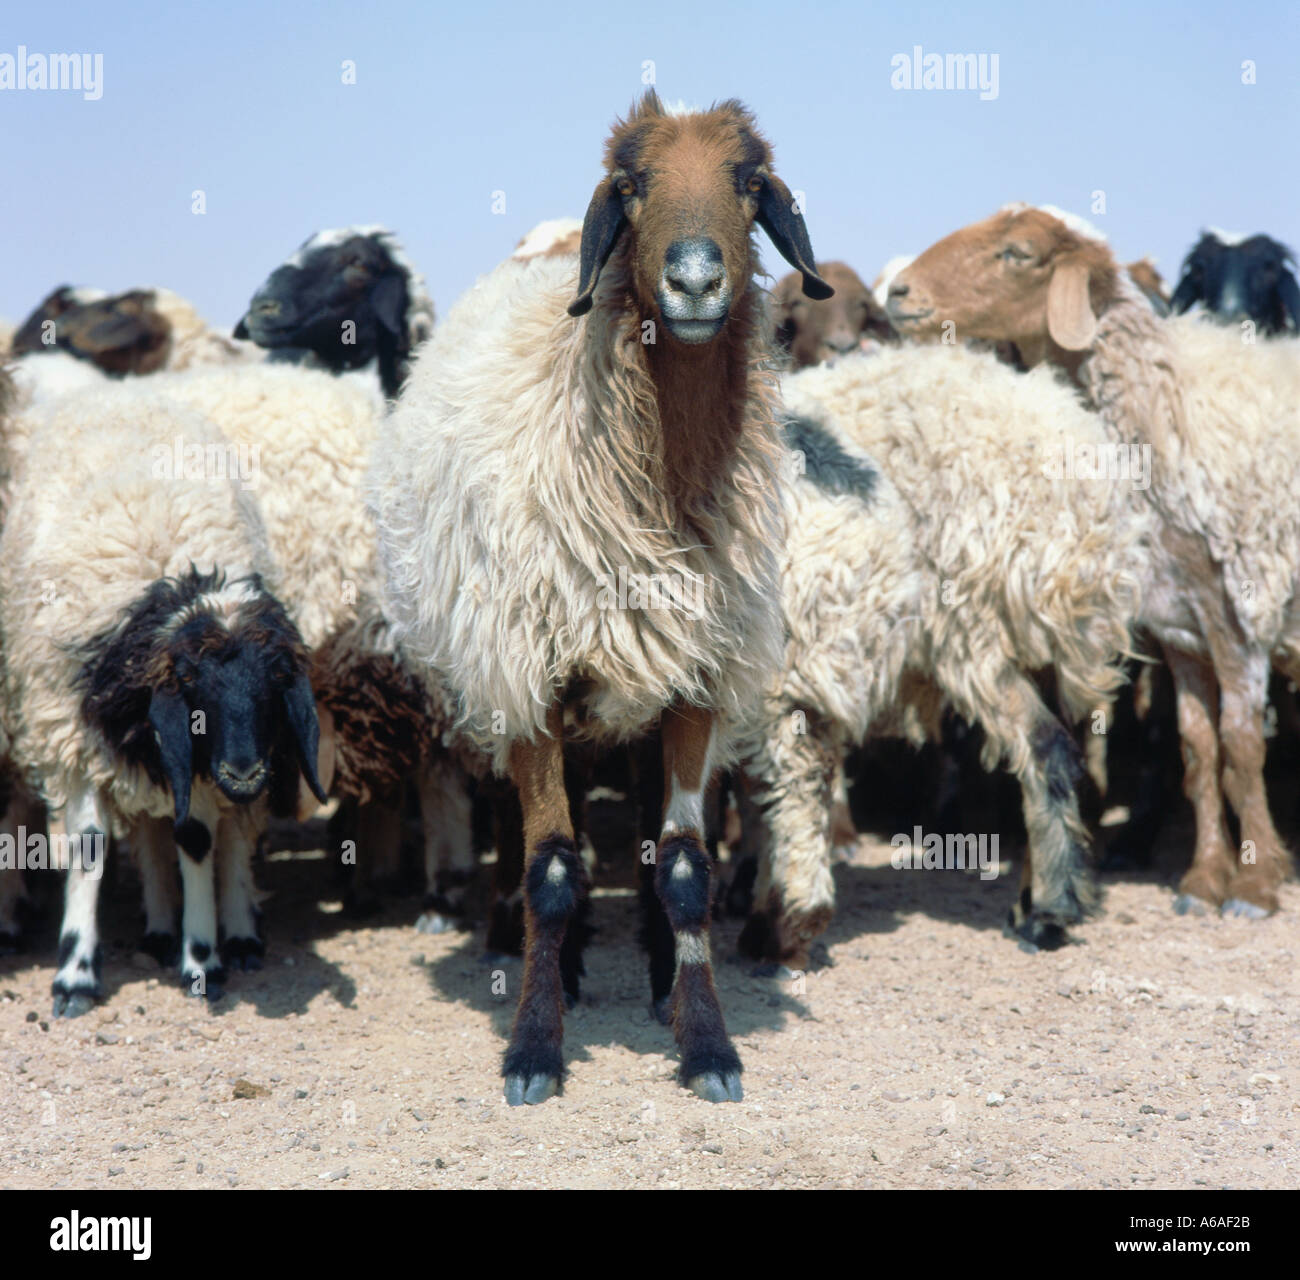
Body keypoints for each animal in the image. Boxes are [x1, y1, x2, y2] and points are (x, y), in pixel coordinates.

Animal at [0, 381, 325, 1013]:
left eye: (277, 681)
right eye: (192, 684)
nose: (246, 772)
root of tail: (120, 390)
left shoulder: (197, 760)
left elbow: (197, 839)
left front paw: (203, 960)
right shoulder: (77, 736)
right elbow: (89, 847)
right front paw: (76, 973)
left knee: (231, 834)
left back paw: (239, 933)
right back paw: (155, 929)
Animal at [371, 90, 832, 1105]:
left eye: (749, 182)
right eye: (632, 185)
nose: (695, 281)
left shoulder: (695, 681)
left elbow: (689, 869)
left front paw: (707, 1044)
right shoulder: (532, 679)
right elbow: (551, 870)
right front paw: (534, 1048)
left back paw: (656, 979)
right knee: (534, 836)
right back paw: (558, 965)